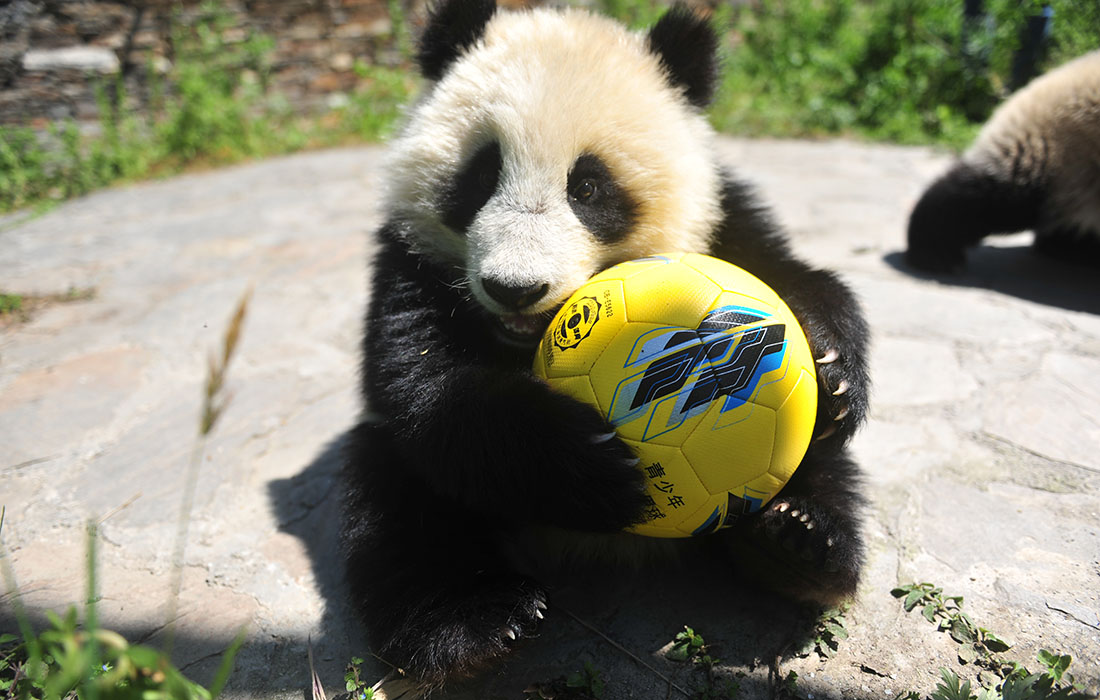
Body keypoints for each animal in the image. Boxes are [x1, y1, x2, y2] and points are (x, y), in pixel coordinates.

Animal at [341, 0, 871, 688]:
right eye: (481, 175)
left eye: (587, 188)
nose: (515, 288)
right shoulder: (410, 263)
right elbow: (421, 383)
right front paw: (590, 462)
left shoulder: (723, 216)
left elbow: (785, 271)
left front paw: (833, 360)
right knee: (399, 507)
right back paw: (474, 623)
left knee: (824, 463)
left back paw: (800, 544)